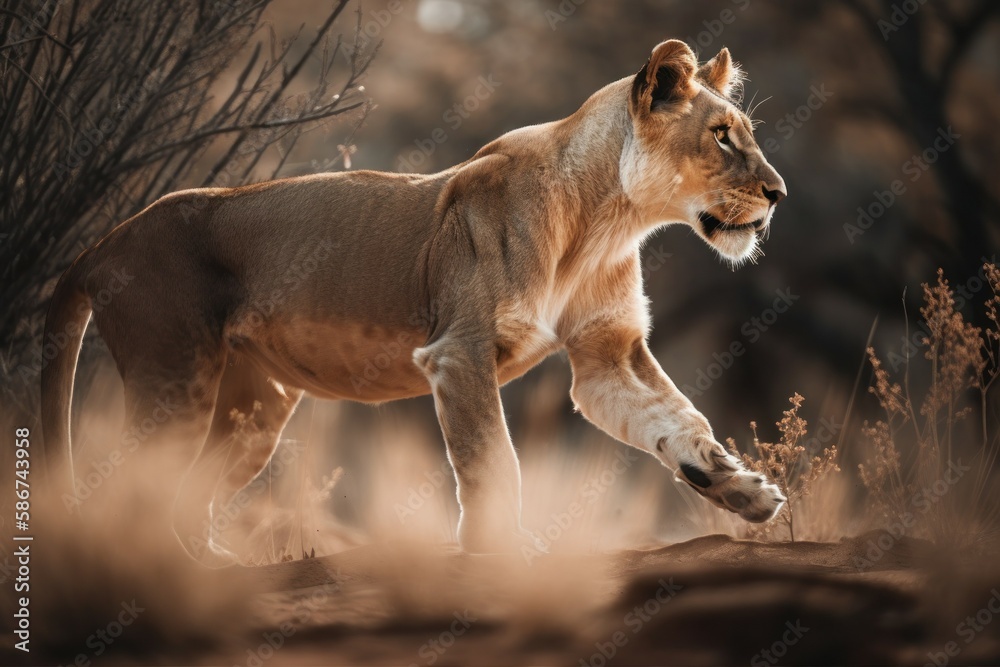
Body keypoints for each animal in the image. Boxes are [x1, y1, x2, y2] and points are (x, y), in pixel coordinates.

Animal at [42, 39, 787, 563]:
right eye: (721, 134)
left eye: (744, 130)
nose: (778, 193)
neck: (606, 221)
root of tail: (103, 241)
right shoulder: (459, 351)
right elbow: (494, 459)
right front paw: (500, 549)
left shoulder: (608, 355)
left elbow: (680, 419)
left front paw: (742, 490)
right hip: (174, 377)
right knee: (130, 489)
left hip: (254, 409)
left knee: (185, 495)